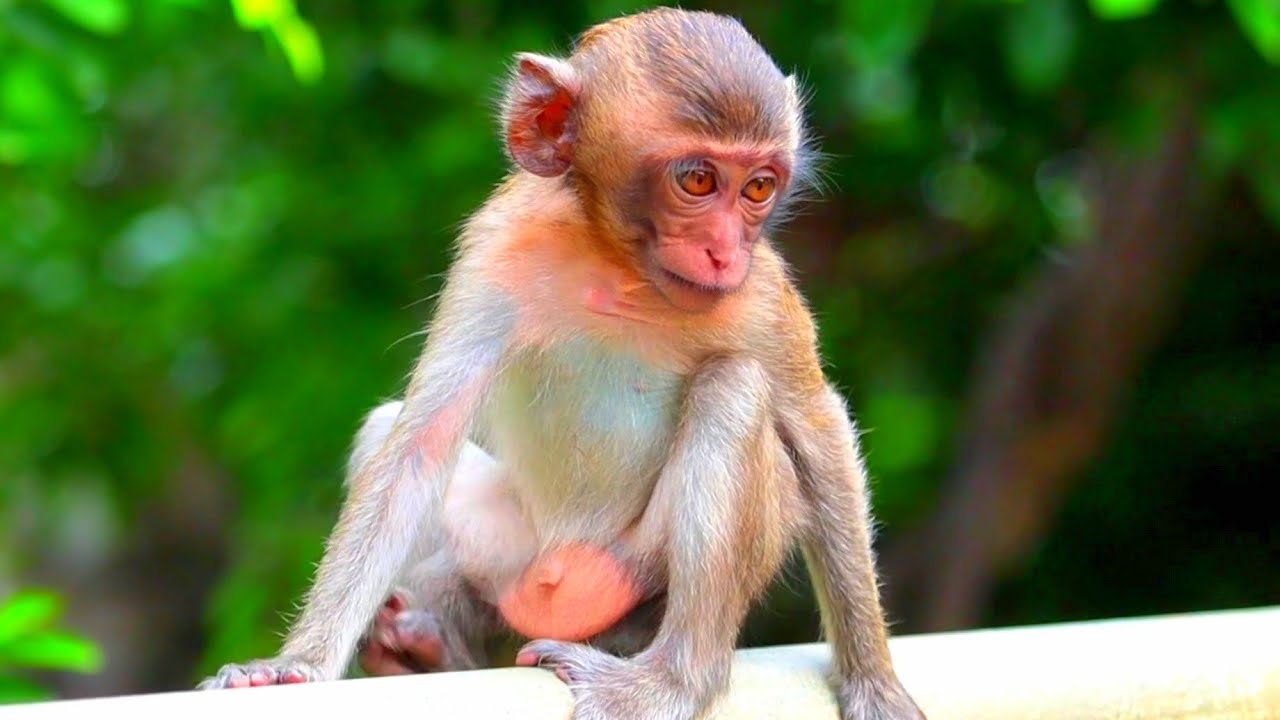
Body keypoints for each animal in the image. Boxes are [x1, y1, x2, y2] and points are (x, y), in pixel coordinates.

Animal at [199, 8, 925, 720]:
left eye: (759, 188)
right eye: (698, 180)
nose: (724, 251)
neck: (619, 265)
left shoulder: (759, 295)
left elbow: (818, 431)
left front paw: (875, 686)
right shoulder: (495, 249)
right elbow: (419, 445)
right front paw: (296, 664)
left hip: (634, 567)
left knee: (733, 389)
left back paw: (671, 680)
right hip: (511, 553)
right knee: (391, 434)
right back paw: (431, 648)